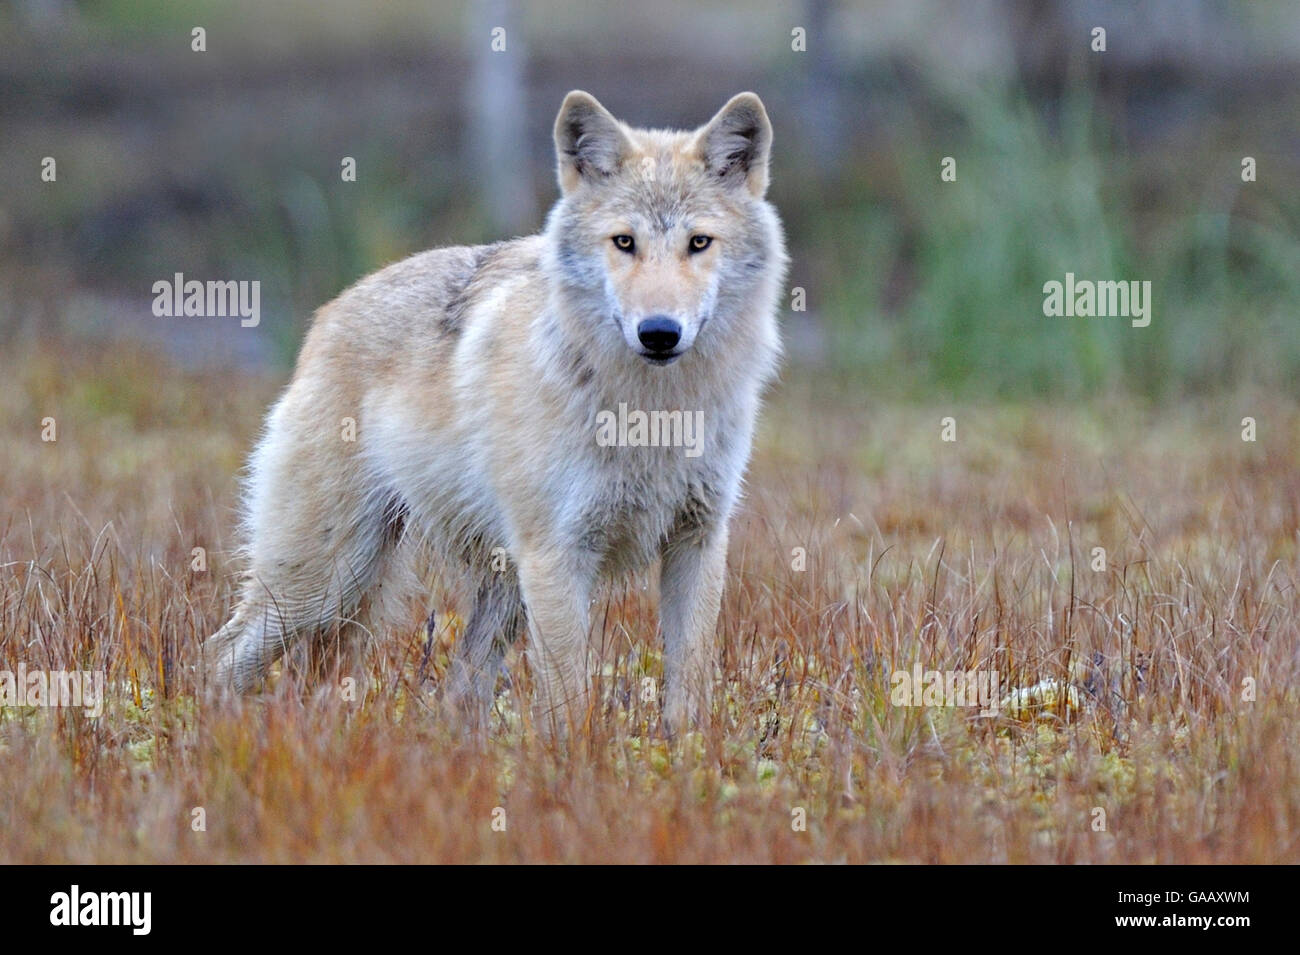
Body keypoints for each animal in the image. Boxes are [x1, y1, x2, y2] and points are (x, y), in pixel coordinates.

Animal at [203, 90, 788, 732]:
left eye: (699, 243)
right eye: (624, 242)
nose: (659, 332)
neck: (653, 415)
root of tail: (327, 314)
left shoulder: (697, 541)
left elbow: (687, 693)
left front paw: (683, 756)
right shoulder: (558, 557)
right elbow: (569, 703)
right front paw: (576, 759)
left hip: (478, 593)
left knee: (457, 690)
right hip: (321, 583)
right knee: (222, 656)